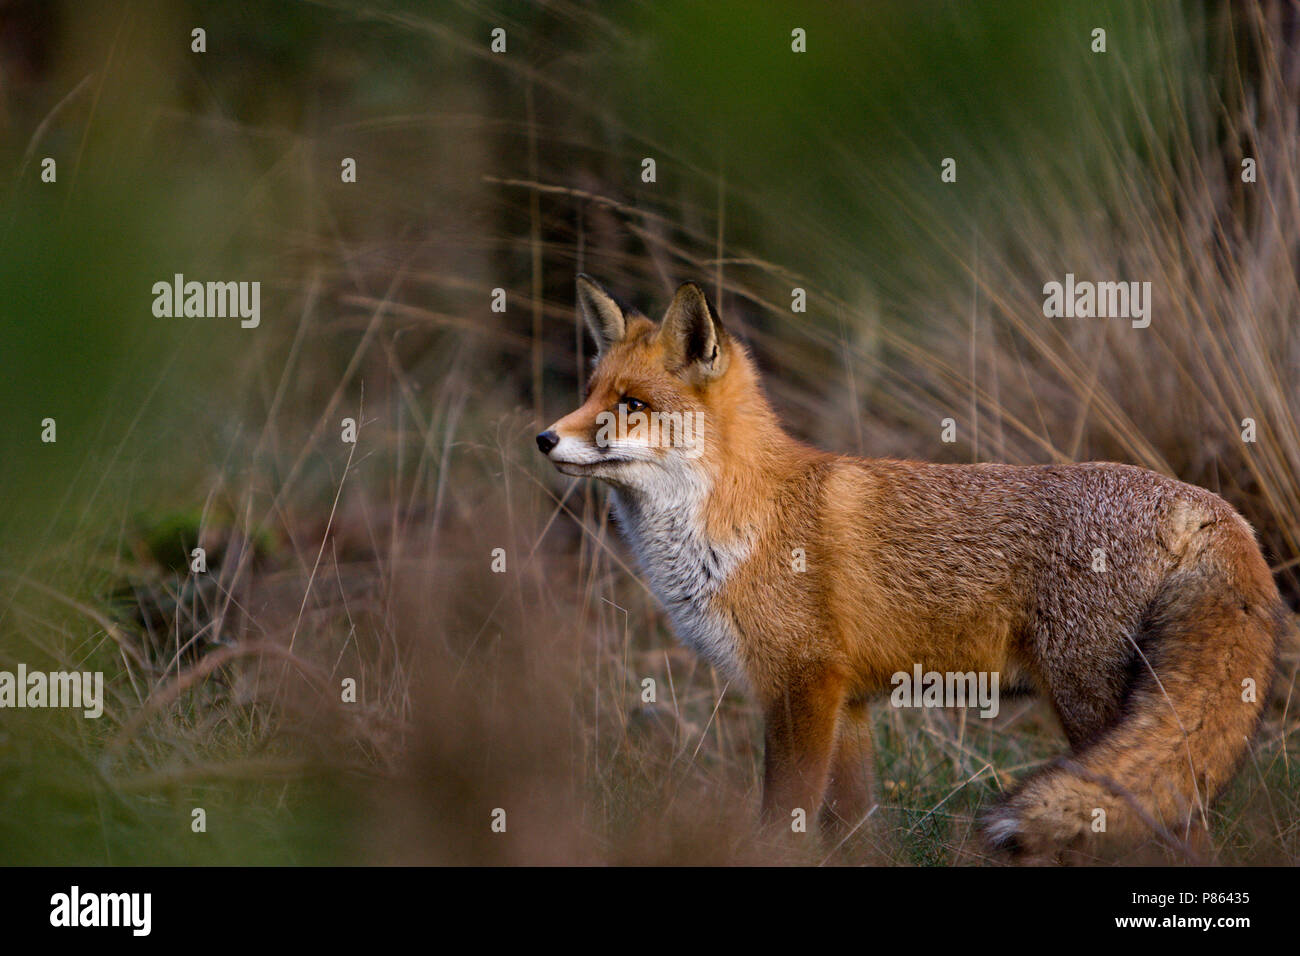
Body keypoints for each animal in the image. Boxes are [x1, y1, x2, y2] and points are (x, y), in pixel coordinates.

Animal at [537, 274, 1286, 861]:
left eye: (632, 405)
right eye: (590, 393)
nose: (543, 437)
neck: (738, 520)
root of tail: (1204, 501)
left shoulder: (801, 685)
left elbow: (783, 821)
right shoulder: (848, 704)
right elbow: (851, 832)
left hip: (1092, 704)